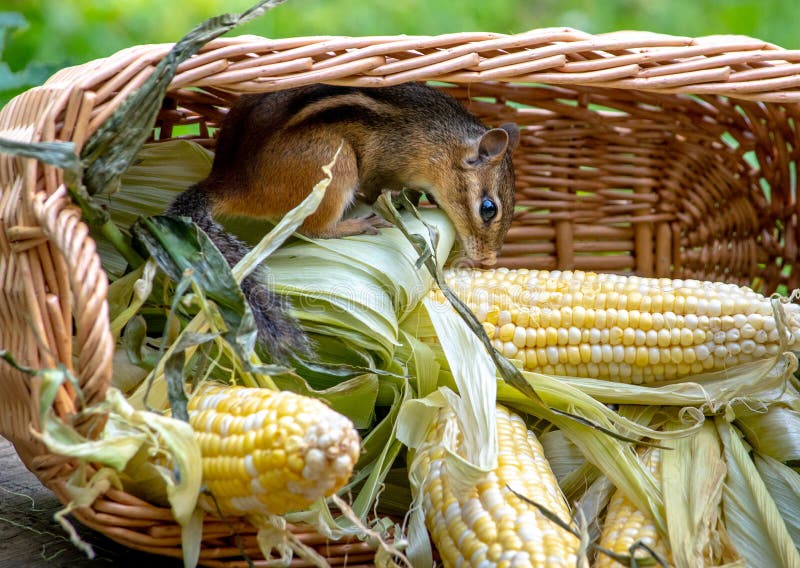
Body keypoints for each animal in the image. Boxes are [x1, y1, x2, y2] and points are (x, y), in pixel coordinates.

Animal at [167, 82, 519, 362]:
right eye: (489, 208)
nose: (488, 260)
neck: (441, 144)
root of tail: (234, 181)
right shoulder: (384, 167)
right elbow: (376, 190)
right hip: (337, 168)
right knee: (312, 229)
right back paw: (357, 225)